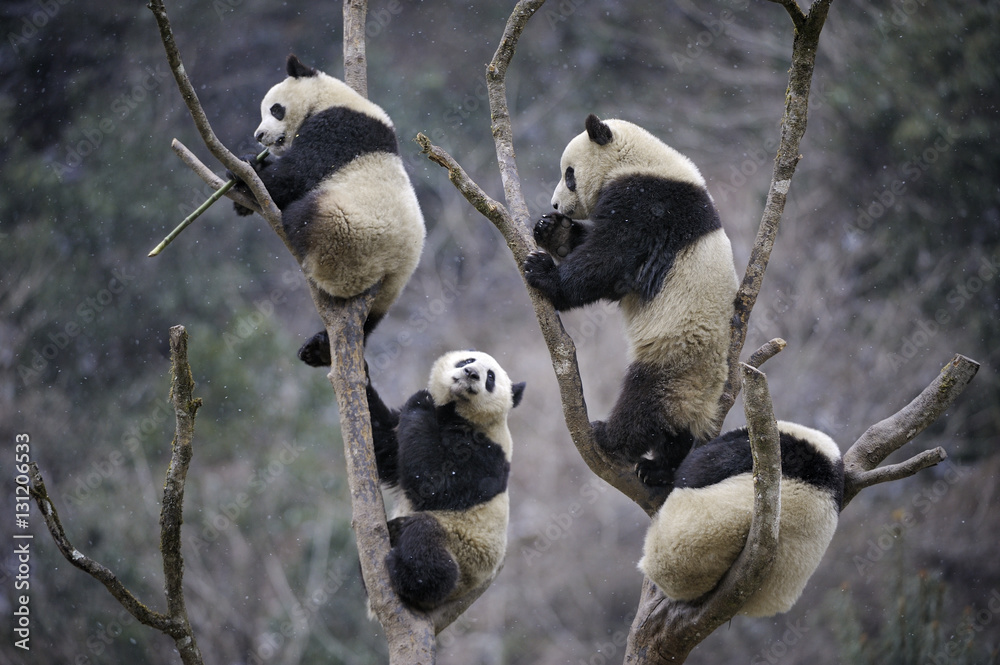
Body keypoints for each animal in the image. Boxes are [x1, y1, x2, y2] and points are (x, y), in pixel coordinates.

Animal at [232, 54, 425, 366]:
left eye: (275, 109)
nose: (259, 135)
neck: (328, 98)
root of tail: (388, 269)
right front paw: (242, 198)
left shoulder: (337, 129)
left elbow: (297, 175)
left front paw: (245, 170)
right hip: (389, 290)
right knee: (370, 322)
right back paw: (320, 348)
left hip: (348, 234)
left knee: (306, 214)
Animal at [365, 350, 526, 610]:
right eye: (467, 361)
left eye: (490, 377)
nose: (471, 373)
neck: (456, 411)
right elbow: (385, 444)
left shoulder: (487, 452)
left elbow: (436, 485)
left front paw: (421, 400)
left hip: (463, 550)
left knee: (426, 538)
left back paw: (409, 577)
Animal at [523, 114, 738, 486]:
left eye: (569, 174)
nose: (554, 205)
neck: (639, 161)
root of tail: (706, 399)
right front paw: (554, 231)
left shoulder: (649, 205)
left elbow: (610, 259)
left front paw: (544, 274)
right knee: (675, 433)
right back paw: (661, 469)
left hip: (676, 354)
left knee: (644, 403)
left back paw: (608, 437)